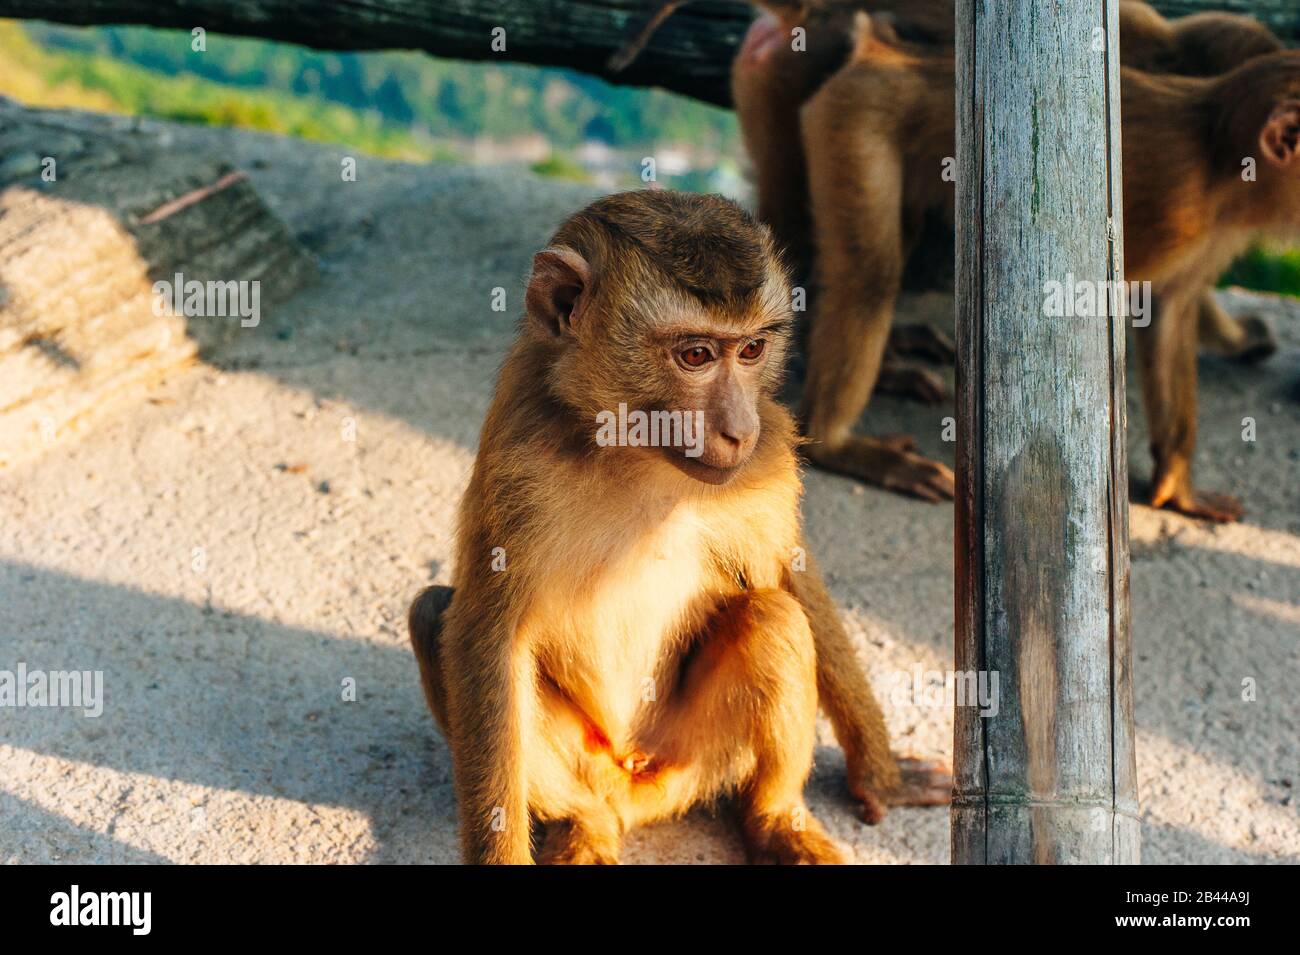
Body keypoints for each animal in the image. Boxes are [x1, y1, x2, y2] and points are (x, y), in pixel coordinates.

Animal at [408, 190, 949, 864]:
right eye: (695, 356)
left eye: (751, 351)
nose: (739, 429)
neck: (635, 454)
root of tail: (634, 793)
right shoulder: (518, 457)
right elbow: (487, 633)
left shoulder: (766, 462)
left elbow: (788, 576)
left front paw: (885, 779)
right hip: (594, 764)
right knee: (433, 615)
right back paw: (587, 825)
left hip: (692, 759)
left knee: (772, 619)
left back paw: (775, 820)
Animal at [796, 22, 1300, 520]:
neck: (1222, 163)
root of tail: (884, 52)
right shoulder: (1176, 211)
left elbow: (1169, 311)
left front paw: (1179, 489)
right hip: (855, 123)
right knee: (869, 279)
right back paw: (834, 444)